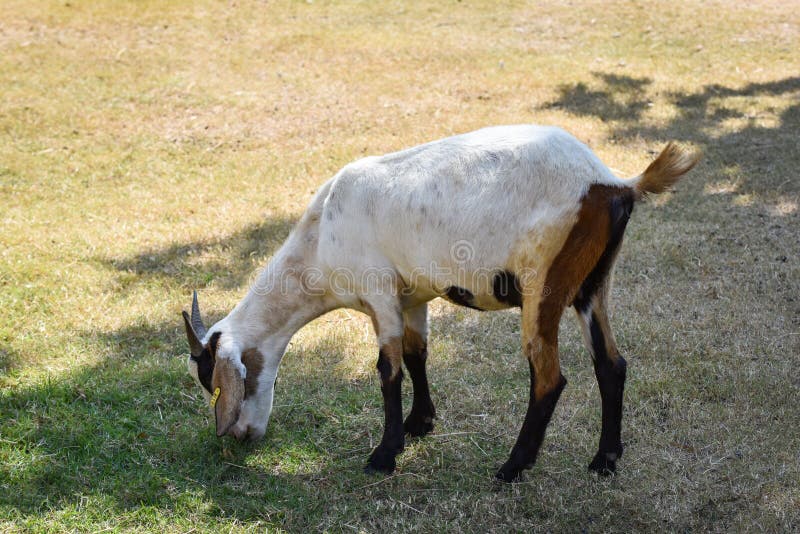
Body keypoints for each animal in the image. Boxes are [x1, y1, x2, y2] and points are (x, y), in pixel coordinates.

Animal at [181, 125, 699, 481]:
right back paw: (604, 460)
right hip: (593, 285)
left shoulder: (379, 292)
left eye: (214, 383)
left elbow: (388, 370)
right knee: (611, 364)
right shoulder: (414, 295)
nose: (239, 437)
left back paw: (512, 467)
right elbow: (417, 355)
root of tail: (614, 183)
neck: (320, 234)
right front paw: (420, 424)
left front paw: (384, 455)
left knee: (549, 377)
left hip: (544, 284)